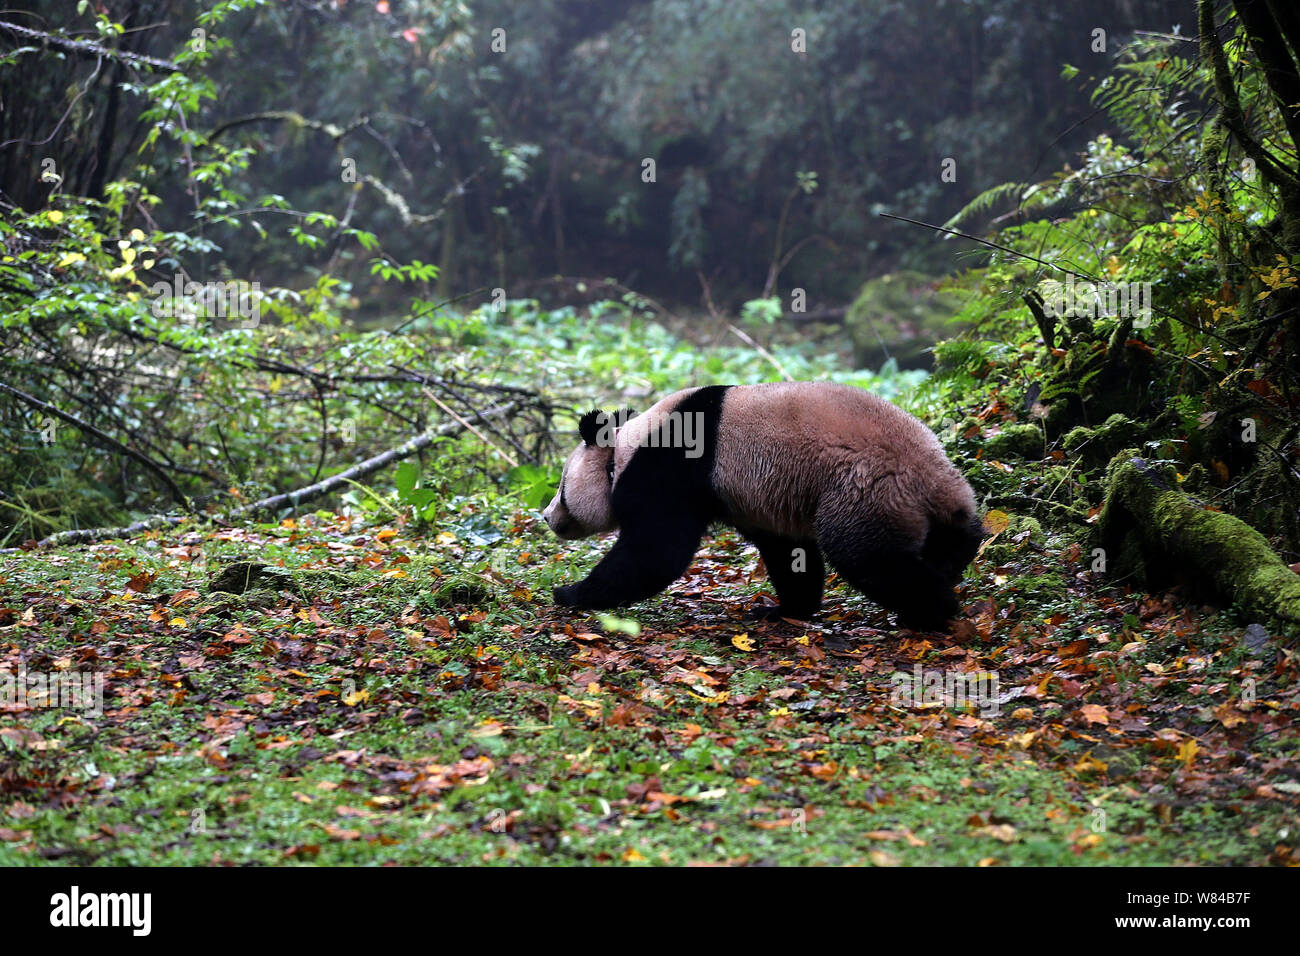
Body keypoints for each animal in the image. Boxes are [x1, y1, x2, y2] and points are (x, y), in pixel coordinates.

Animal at [542, 382, 982, 630]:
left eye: (561, 487)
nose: (547, 517)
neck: (624, 450)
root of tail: (931, 478)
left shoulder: (675, 467)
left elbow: (655, 552)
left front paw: (571, 593)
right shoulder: (759, 498)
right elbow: (788, 550)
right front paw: (789, 609)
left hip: (864, 489)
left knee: (869, 557)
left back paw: (931, 612)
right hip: (932, 495)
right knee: (958, 536)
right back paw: (952, 566)